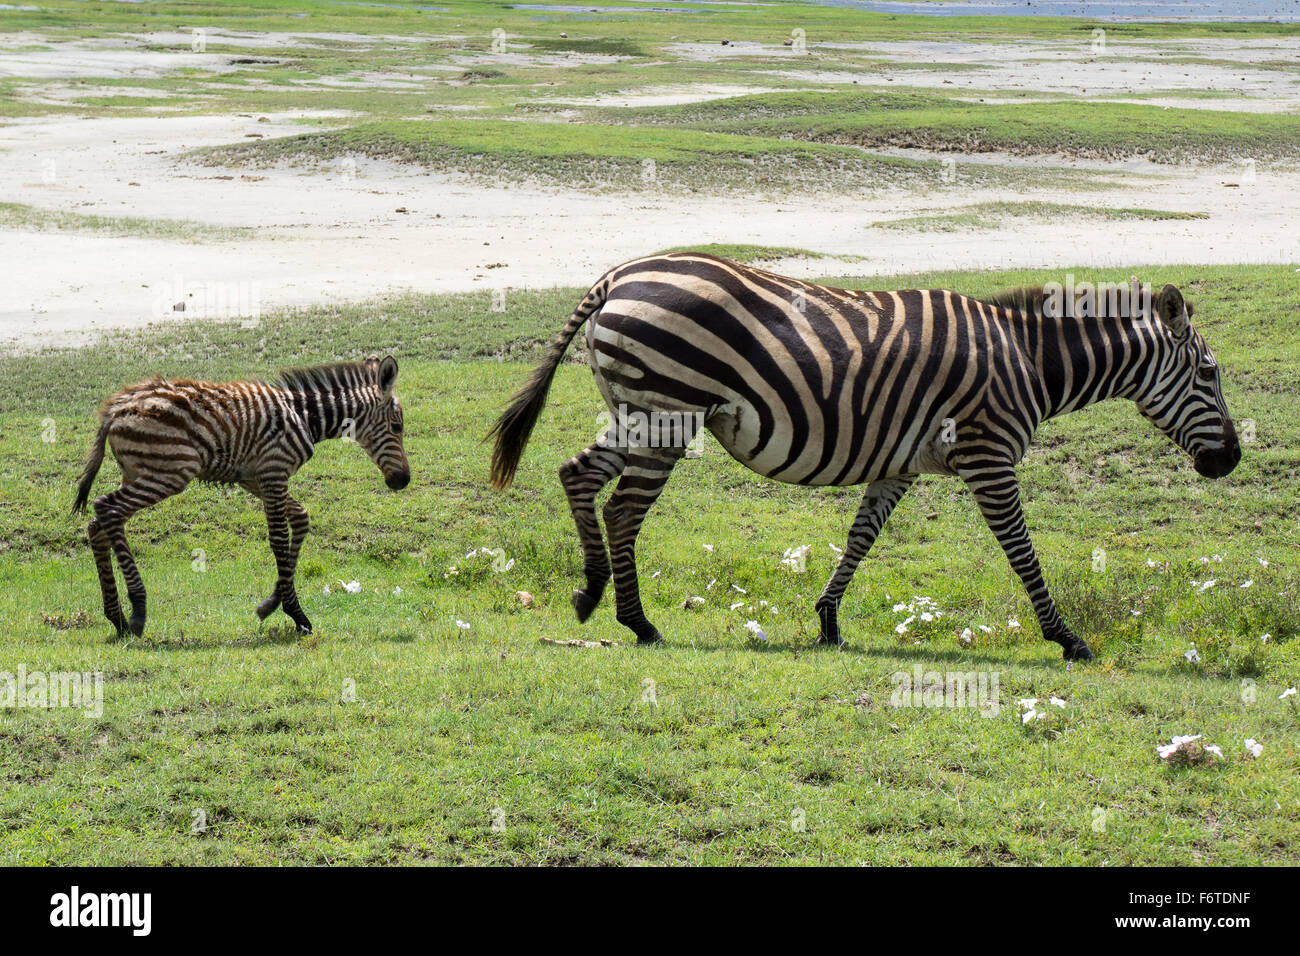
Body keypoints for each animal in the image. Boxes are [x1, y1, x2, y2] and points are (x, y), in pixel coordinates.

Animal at [73, 355, 410, 638]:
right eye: (397, 426)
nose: (403, 480)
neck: (306, 417)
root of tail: (116, 408)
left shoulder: (256, 479)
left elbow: (301, 520)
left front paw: (272, 602)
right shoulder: (273, 472)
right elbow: (278, 539)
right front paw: (295, 614)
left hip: (139, 473)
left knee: (98, 525)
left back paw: (117, 618)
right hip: (169, 472)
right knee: (107, 508)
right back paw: (138, 611)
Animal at [489, 253, 1240, 660]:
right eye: (1209, 373)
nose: (1230, 461)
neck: (1028, 362)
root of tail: (620, 274)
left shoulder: (897, 464)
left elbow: (861, 536)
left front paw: (827, 619)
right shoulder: (989, 455)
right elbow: (1022, 552)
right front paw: (1067, 638)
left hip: (637, 414)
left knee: (577, 474)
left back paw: (590, 592)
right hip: (667, 414)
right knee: (623, 510)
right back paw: (638, 623)